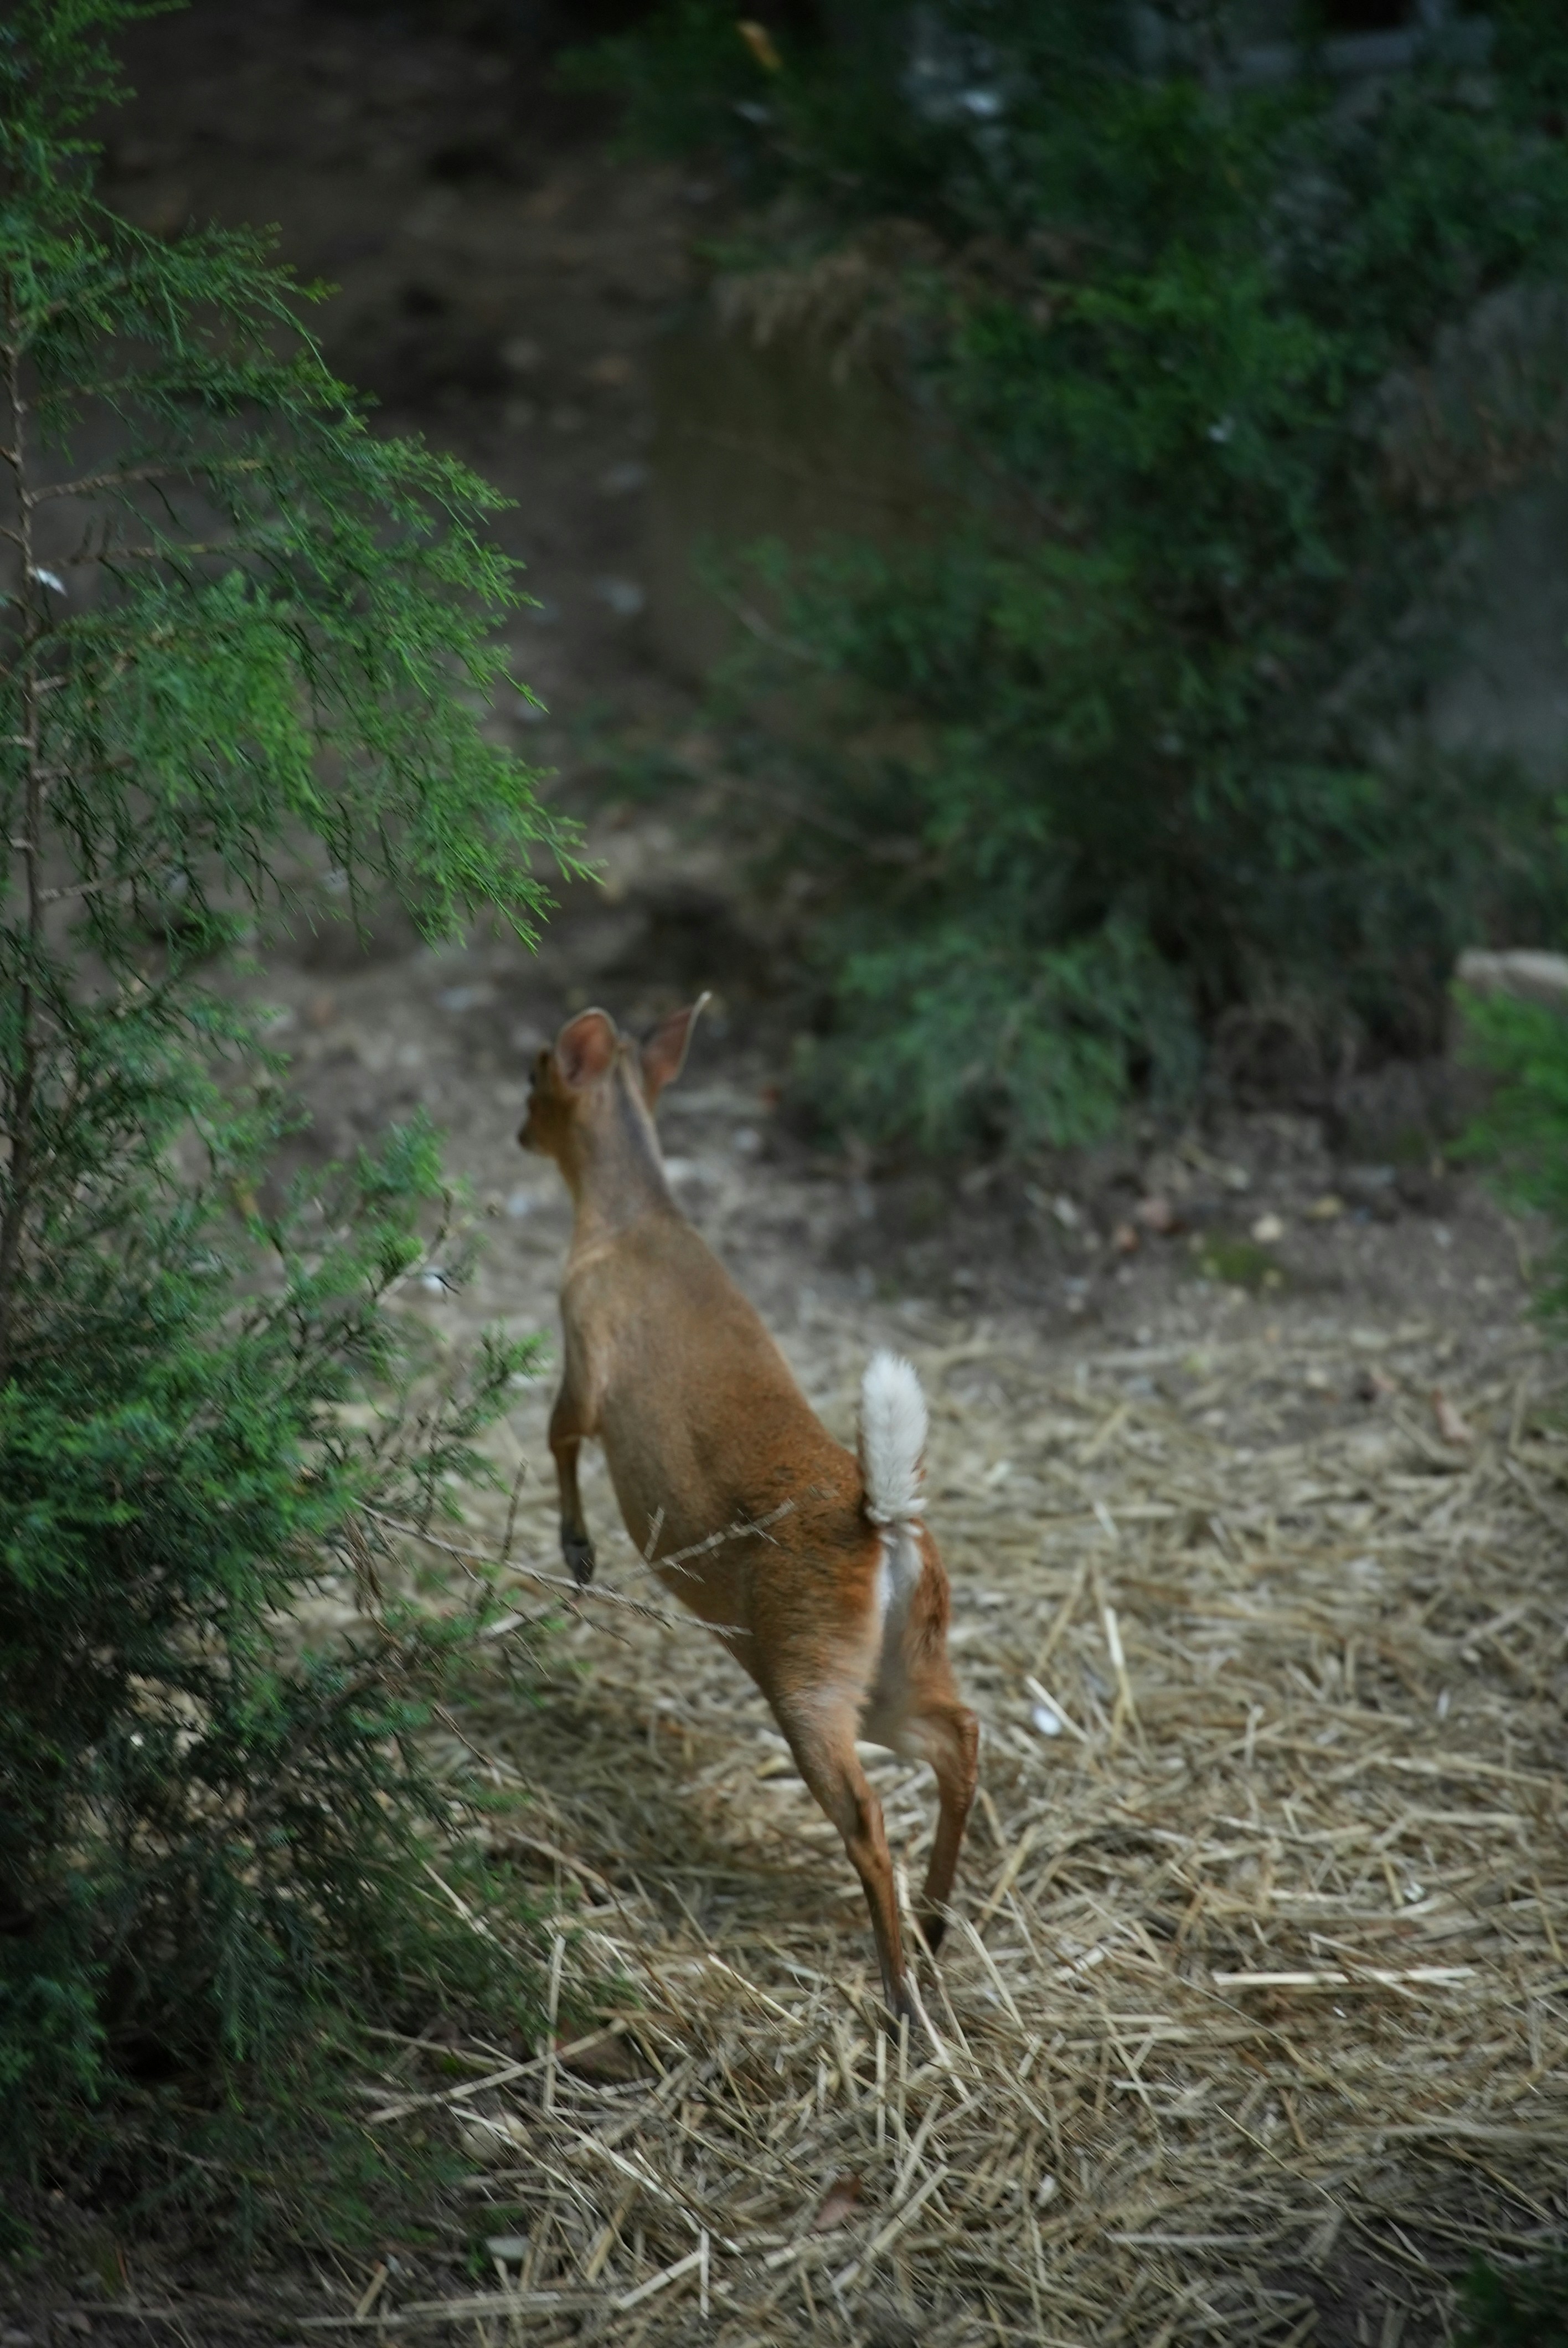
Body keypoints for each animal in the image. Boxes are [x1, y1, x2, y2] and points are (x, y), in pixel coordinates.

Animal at [518, 998, 978, 2031]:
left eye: (533, 1073)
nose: (518, 1129)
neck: (631, 1221)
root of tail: (881, 1523)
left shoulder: (583, 1343)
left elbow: (556, 1434)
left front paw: (577, 1550)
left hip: (806, 1673)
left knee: (869, 1813)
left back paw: (897, 1992)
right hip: (889, 1667)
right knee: (960, 1740)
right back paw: (933, 1932)